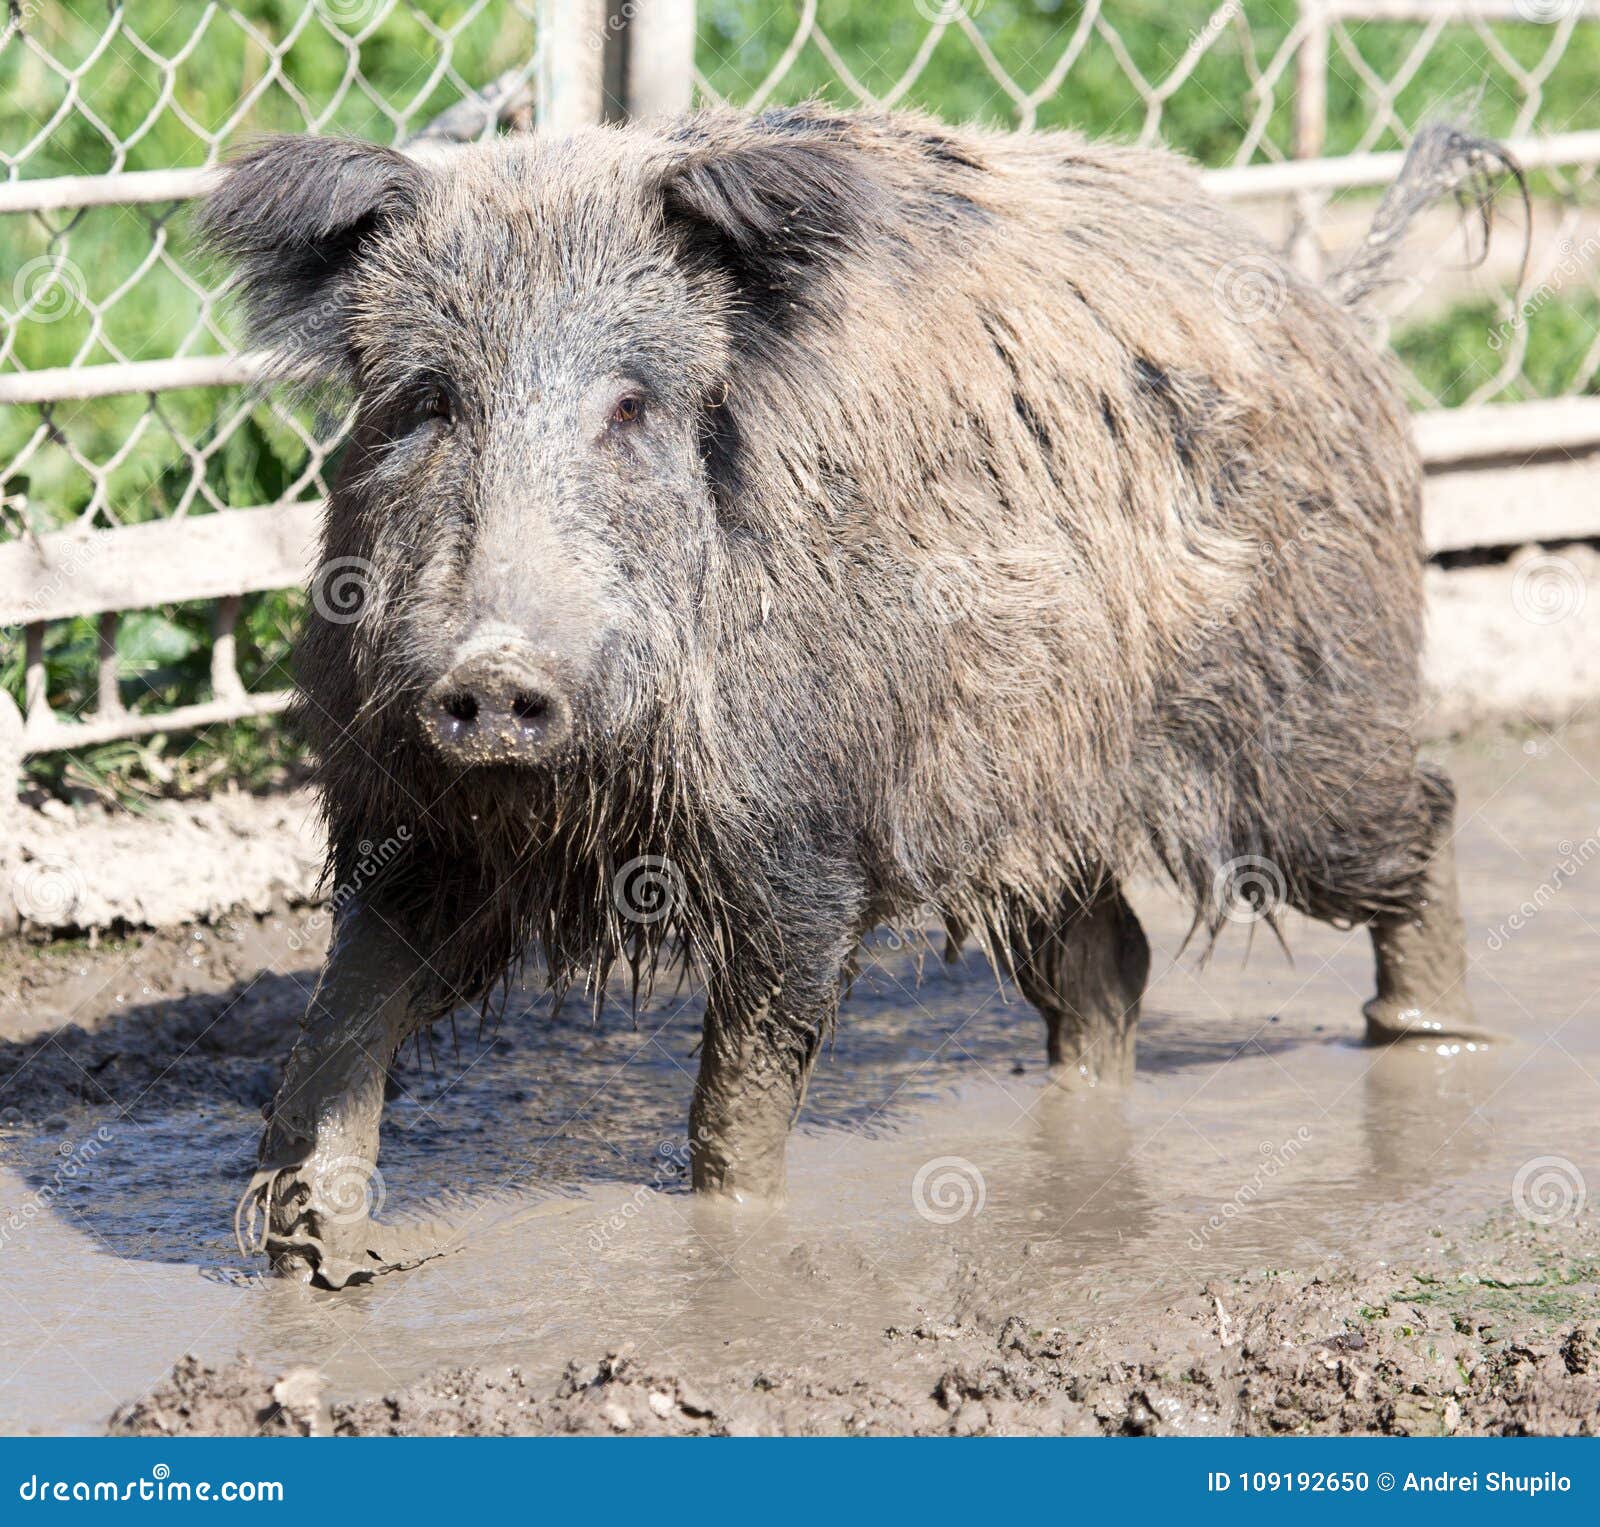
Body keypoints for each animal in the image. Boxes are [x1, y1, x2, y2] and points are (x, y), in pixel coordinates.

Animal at [200, 107, 1513, 1287]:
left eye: (629, 406)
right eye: (429, 403)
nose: (493, 673)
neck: (576, 806)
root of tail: (1330, 308)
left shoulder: (801, 836)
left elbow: (740, 1087)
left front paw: (733, 1245)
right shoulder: (407, 812)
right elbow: (350, 1003)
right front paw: (312, 1253)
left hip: (1297, 721)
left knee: (1421, 811)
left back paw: (1432, 1041)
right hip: (1027, 781)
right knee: (1111, 954)